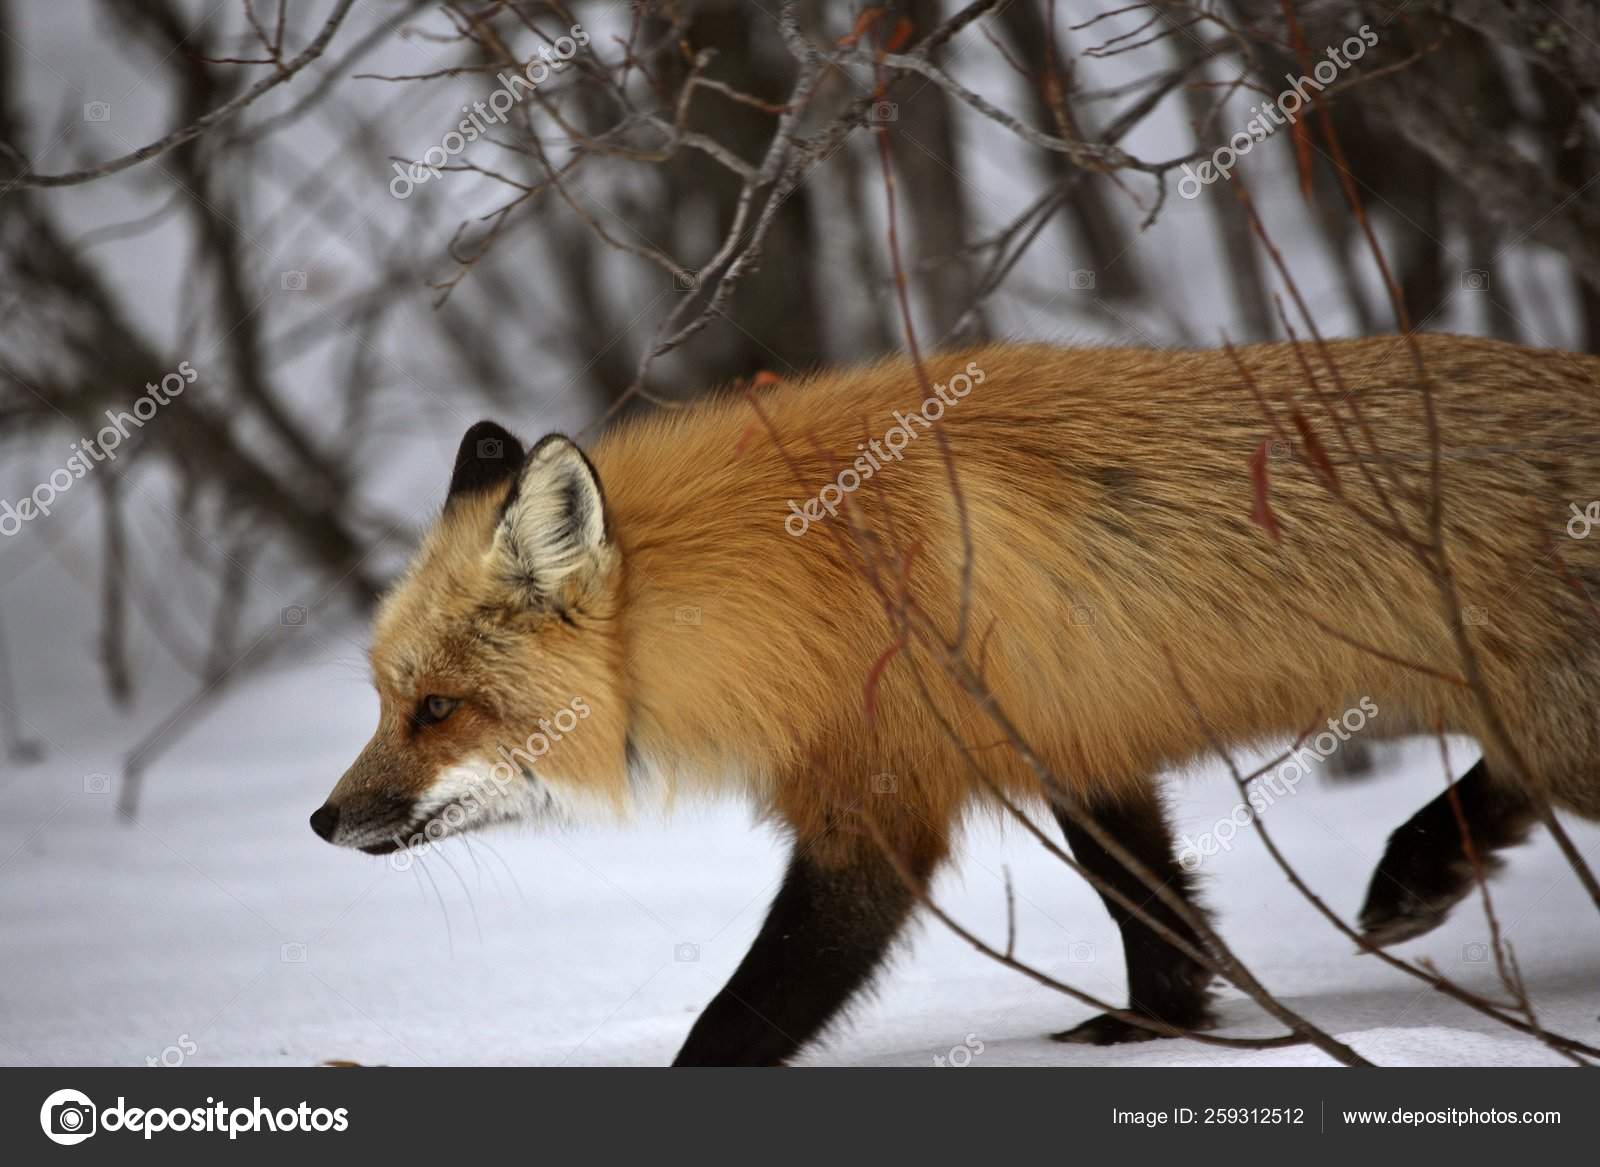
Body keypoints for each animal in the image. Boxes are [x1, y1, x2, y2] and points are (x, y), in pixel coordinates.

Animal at [313, 333, 1600, 1065]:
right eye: (382, 701)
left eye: (438, 710)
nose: (322, 823)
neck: (801, 572)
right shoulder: (1069, 737)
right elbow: (1152, 908)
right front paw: (1157, 1031)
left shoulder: (878, 811)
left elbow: (734, 1022)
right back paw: (1423, 867)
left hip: (1565, 726)